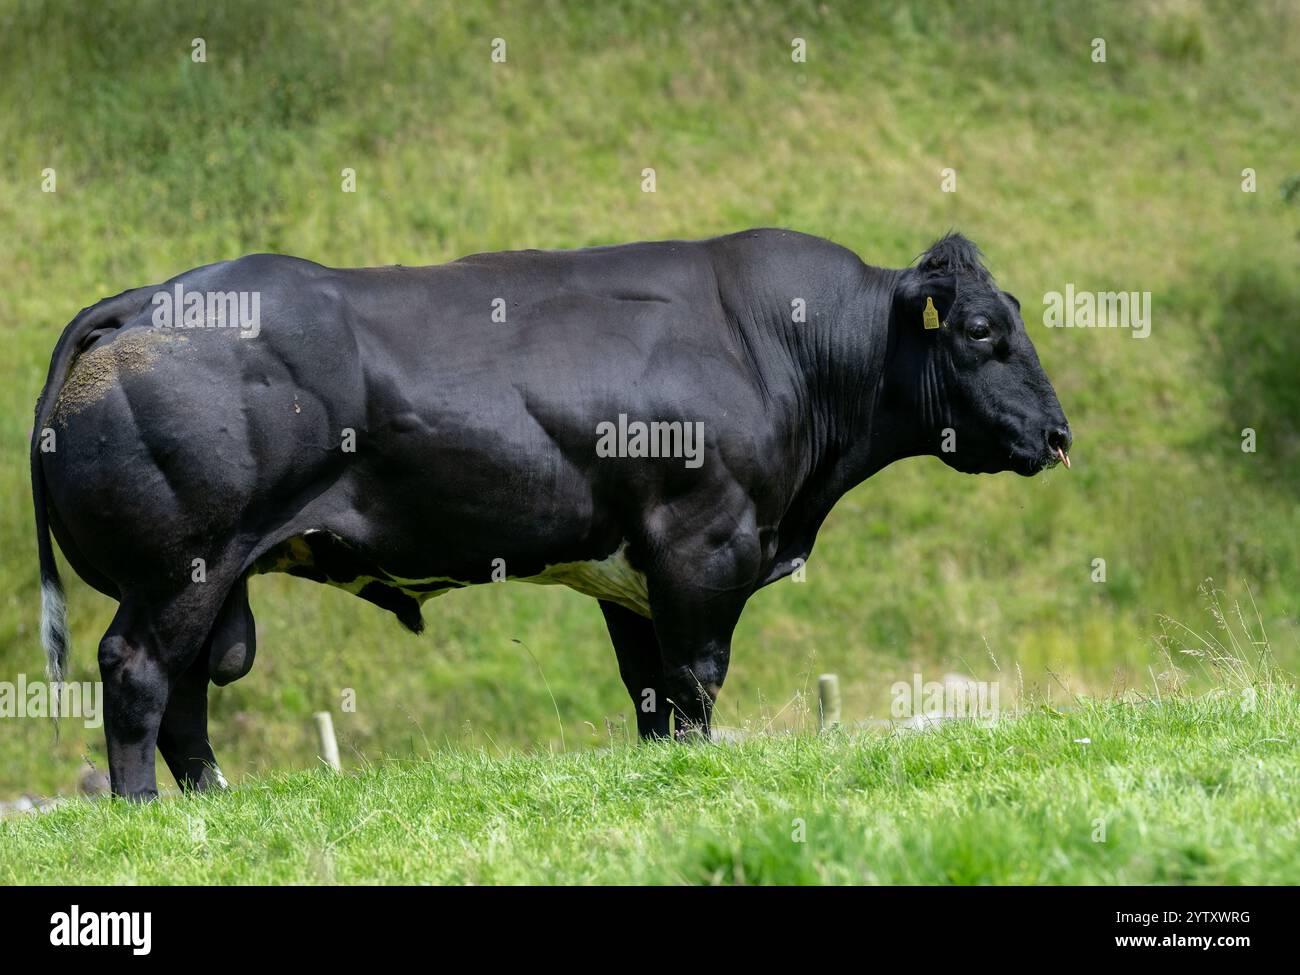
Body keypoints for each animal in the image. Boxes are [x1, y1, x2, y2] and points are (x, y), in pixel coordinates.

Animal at [30, 229, 1071, 800]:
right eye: (983, 330)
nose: (1059, 432)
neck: (778, 345)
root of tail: (147, 299)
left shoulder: (633, 570)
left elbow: (650, 692)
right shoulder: (705, 544)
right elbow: (696, 681)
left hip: (215, 575)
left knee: (188, 694)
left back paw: (216, 802)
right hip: (182, 566)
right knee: (137, 674)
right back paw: (142, 810)